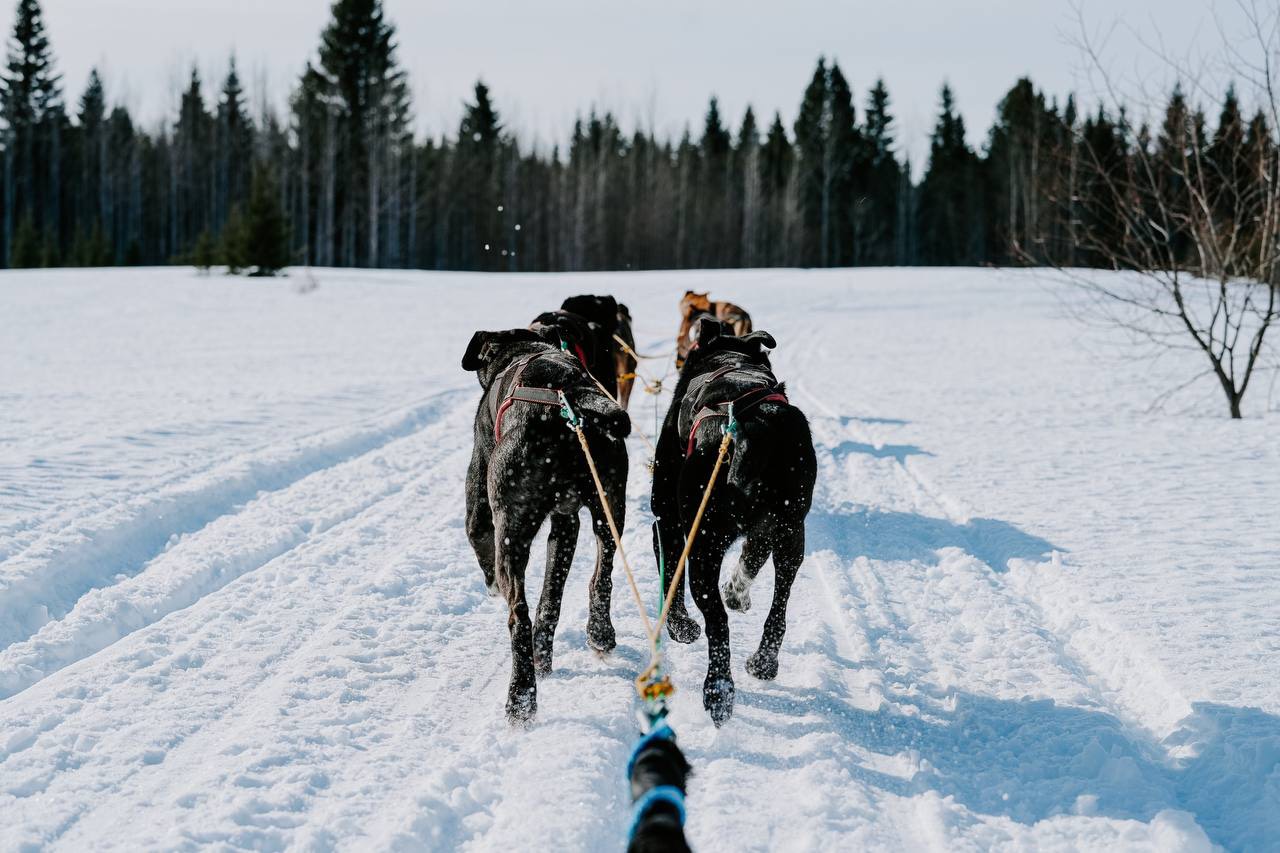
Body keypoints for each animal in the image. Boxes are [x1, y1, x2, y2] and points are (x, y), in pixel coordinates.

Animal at [468, 325, 632, 717]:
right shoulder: (566, 521)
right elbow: (553, 595)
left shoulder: (480, 505)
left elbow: (477, 536)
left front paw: (490, 585)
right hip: (609, 507)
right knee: (597, 578)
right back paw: (597, 635)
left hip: (511, 531)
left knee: (519, 614)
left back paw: (521, 697)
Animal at [650, 318, 819, 722]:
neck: (732, 361)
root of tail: (754, 430)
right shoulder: (769, 529)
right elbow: (751, 559)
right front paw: (737, 592)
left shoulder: (666, 519)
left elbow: (670, 576)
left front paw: (679, 627)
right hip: (792, 533)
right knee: (779, 604)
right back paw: (763, 661)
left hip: (703, 545)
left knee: (717, 623)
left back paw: (718, 690)